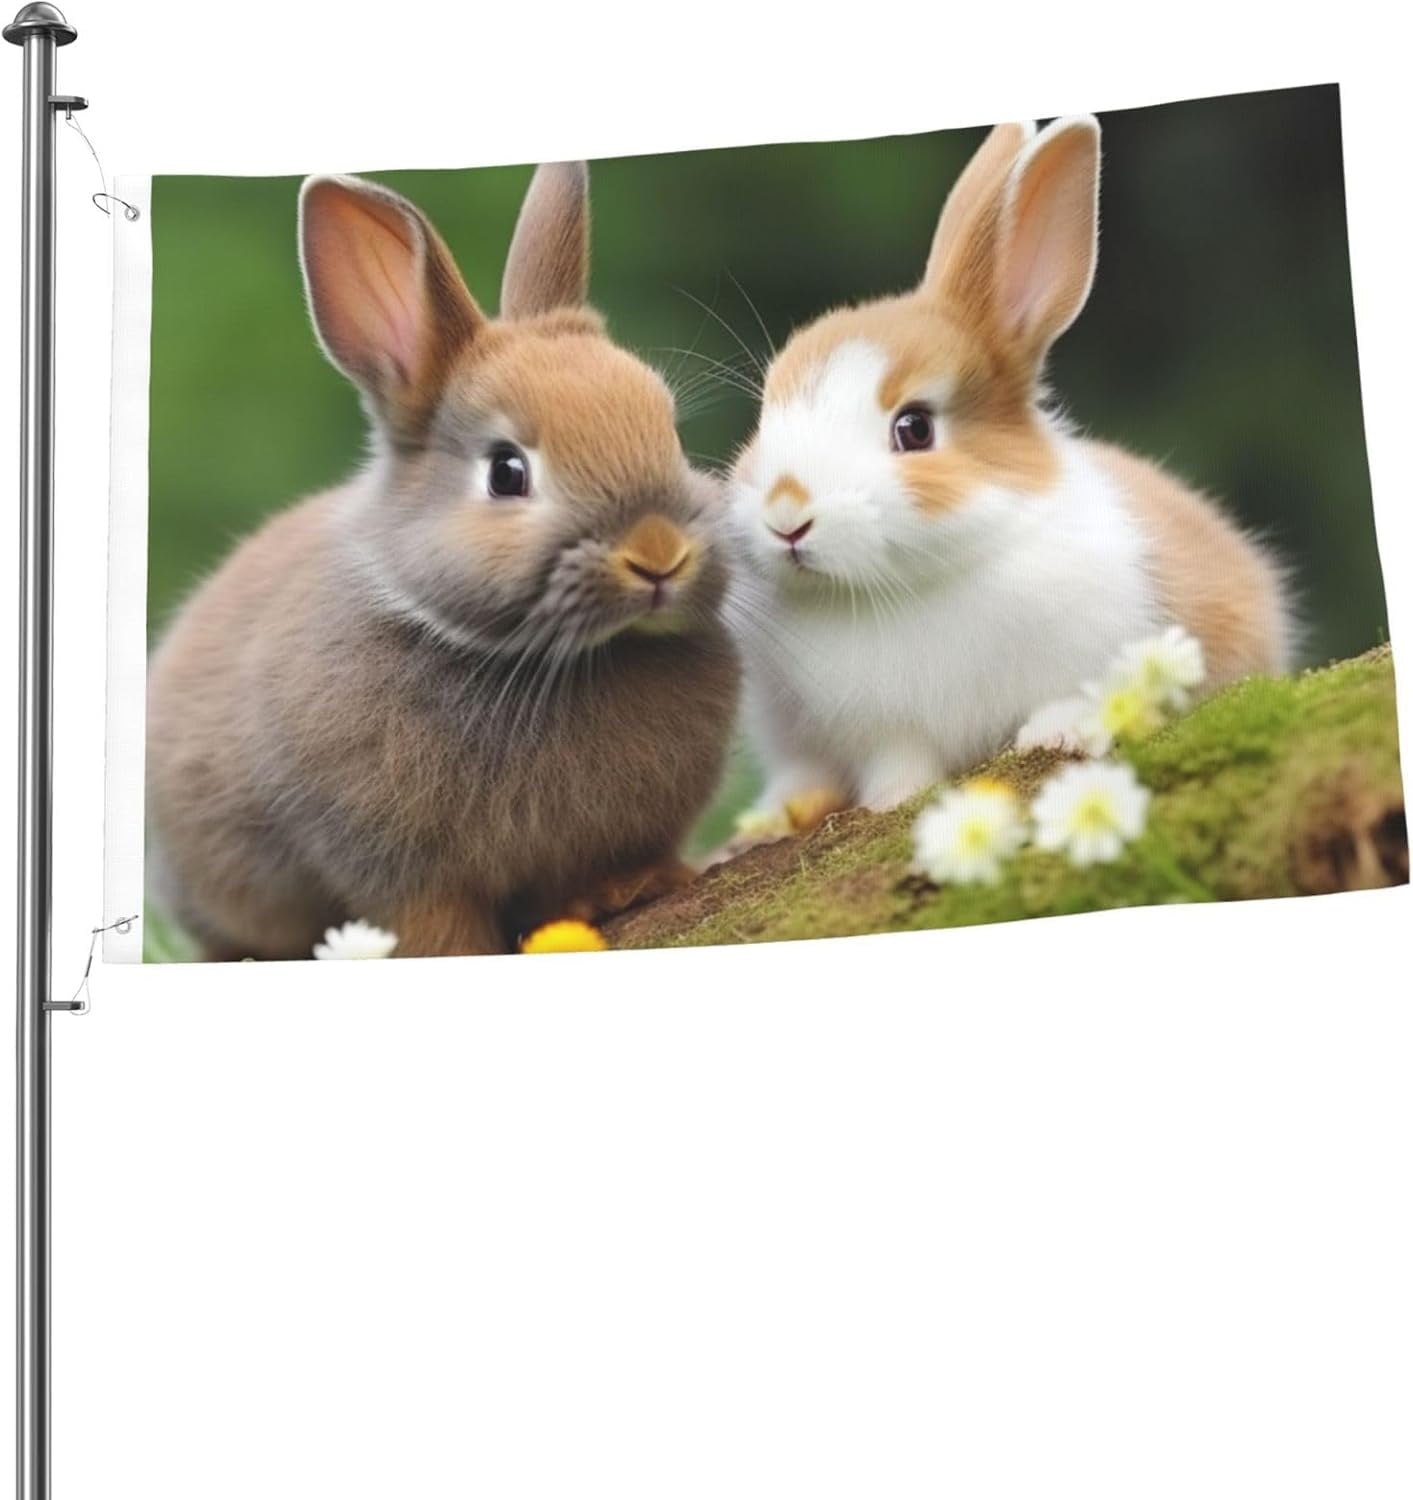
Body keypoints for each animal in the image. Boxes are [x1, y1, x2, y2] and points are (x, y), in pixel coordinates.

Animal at [147, 164, 740, 959]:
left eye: (669, 431)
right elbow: (433, 922)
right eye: (507, 472)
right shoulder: (396, 869)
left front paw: (627, 888)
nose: (657, 556)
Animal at [726, 116, 1291, 829]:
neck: (916, 584)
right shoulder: (881, 730)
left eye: (915, 428)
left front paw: (1058, 733)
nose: (786, 514)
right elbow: (897, 763)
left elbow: (1078, 699)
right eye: (762, 420)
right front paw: (893, 798)